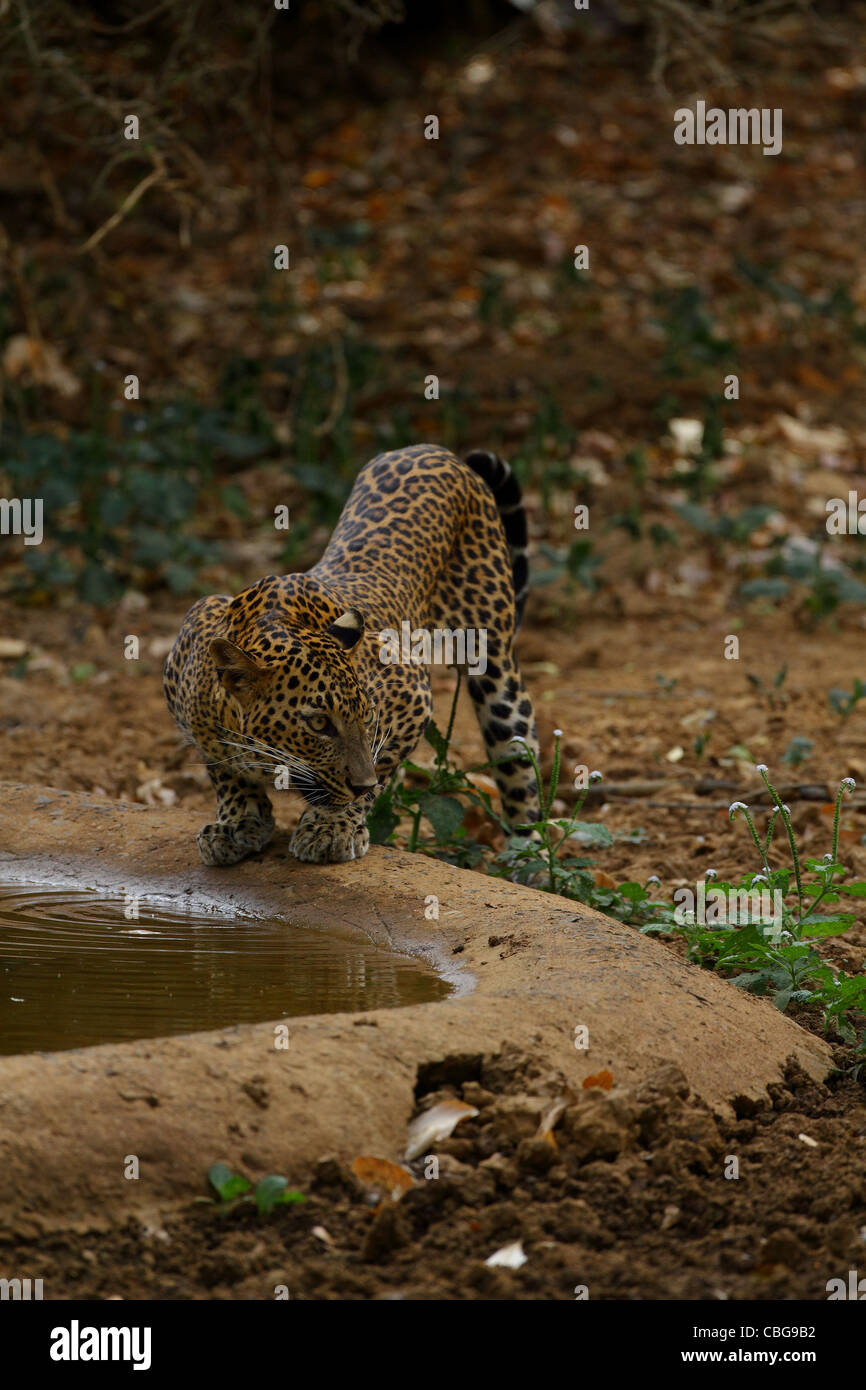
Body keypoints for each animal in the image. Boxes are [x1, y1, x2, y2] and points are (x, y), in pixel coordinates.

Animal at [163, 444, 540, 866]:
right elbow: (224, 771)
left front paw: (332, 827)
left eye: (369, 716)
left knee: (519, 761)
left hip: (492, 663)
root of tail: (435, 450)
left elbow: (376, 766)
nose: (361, 784)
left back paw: (530, 858)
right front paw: (237, 821)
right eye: (318, 724)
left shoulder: (411, 693)